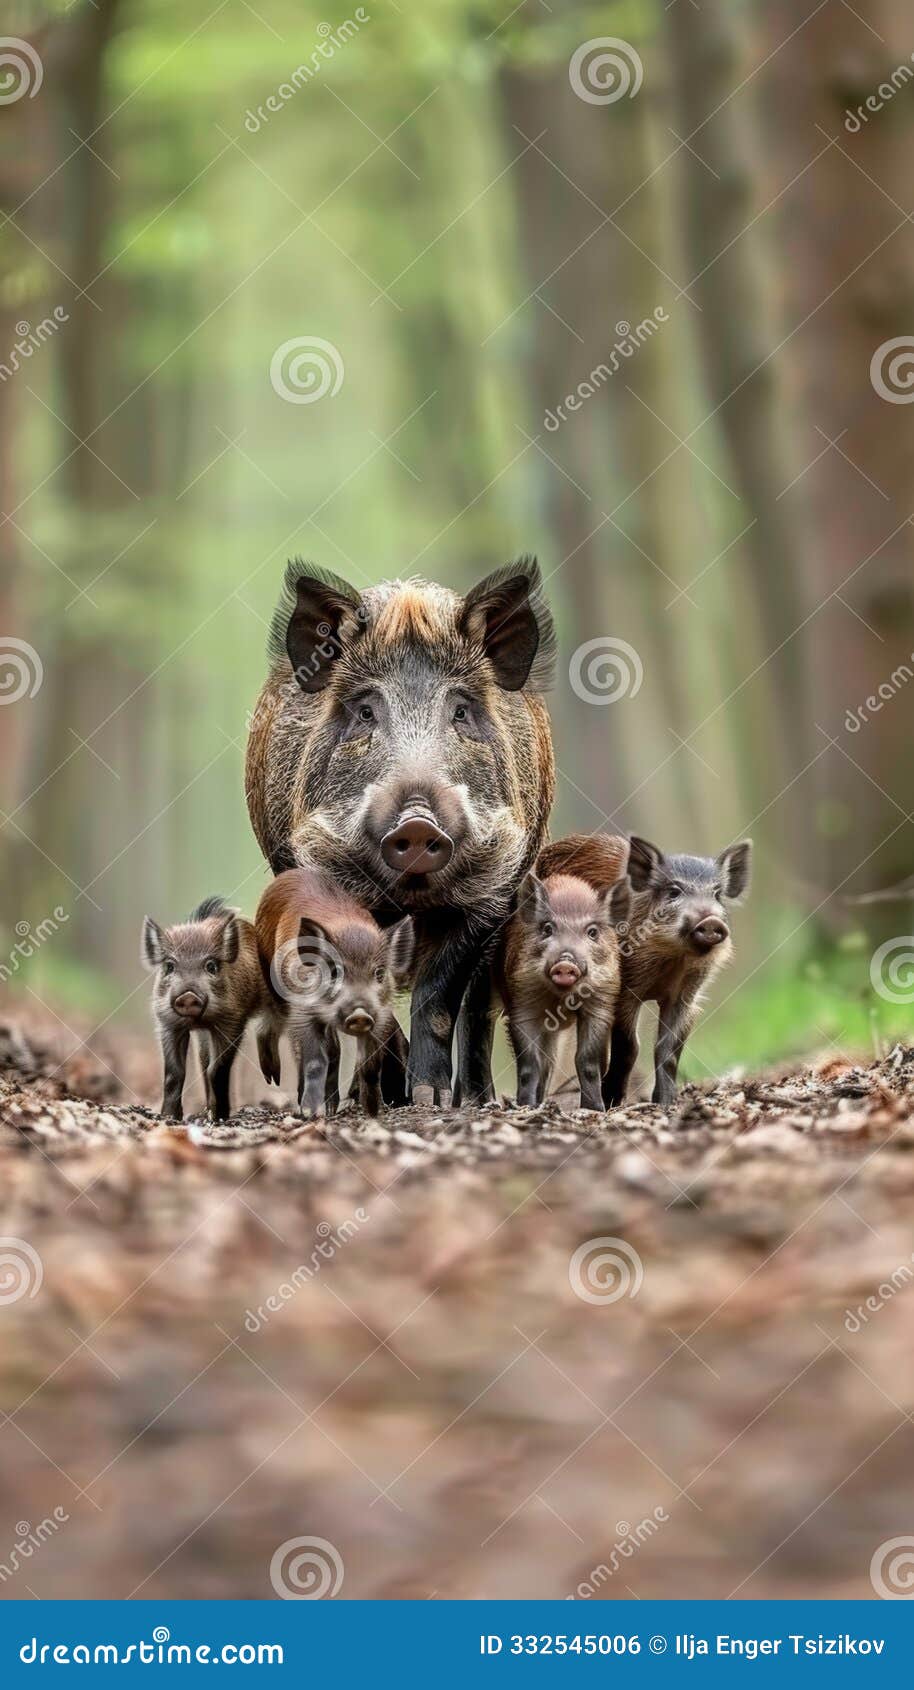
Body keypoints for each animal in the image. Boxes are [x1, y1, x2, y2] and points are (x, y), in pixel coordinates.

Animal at [141, 897, 274, 1121]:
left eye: (211, 966)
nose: (188, 995)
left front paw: (220, 1118)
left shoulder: (232, 1022)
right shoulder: (168, 1024)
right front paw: (169, 1117)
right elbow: (175, 1072)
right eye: (169, 966)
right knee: (202, 1062)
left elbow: (217, 1069)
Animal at [255, 868, 414, 1119]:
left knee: (334, 1049)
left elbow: (369, 1064)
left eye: (379, 973)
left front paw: (373, 1111)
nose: (360, 1013)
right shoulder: (303, 1011)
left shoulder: (381, 1016)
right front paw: (311, 1113)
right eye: (335, 971)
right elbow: (313, 1061)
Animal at [498, 870, 632, 1110]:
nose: (565, 963)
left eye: (592, 932)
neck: (562, 998)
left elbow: (586, 1061)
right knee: (546, 1062)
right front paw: (526, 1106)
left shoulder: (600, 1005)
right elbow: (530, 1064)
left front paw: (593, 1109)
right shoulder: (522, 1004)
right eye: (548, 928)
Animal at [538, 832, 752, 1109]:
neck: (673, 960)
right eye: (674, 892)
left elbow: (667, 1048)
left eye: (716, 894)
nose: (711, 921)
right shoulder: (625, 990)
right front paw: (613, 1102)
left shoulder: (686, 997)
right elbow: (630, 1046)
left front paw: (665, 1103)